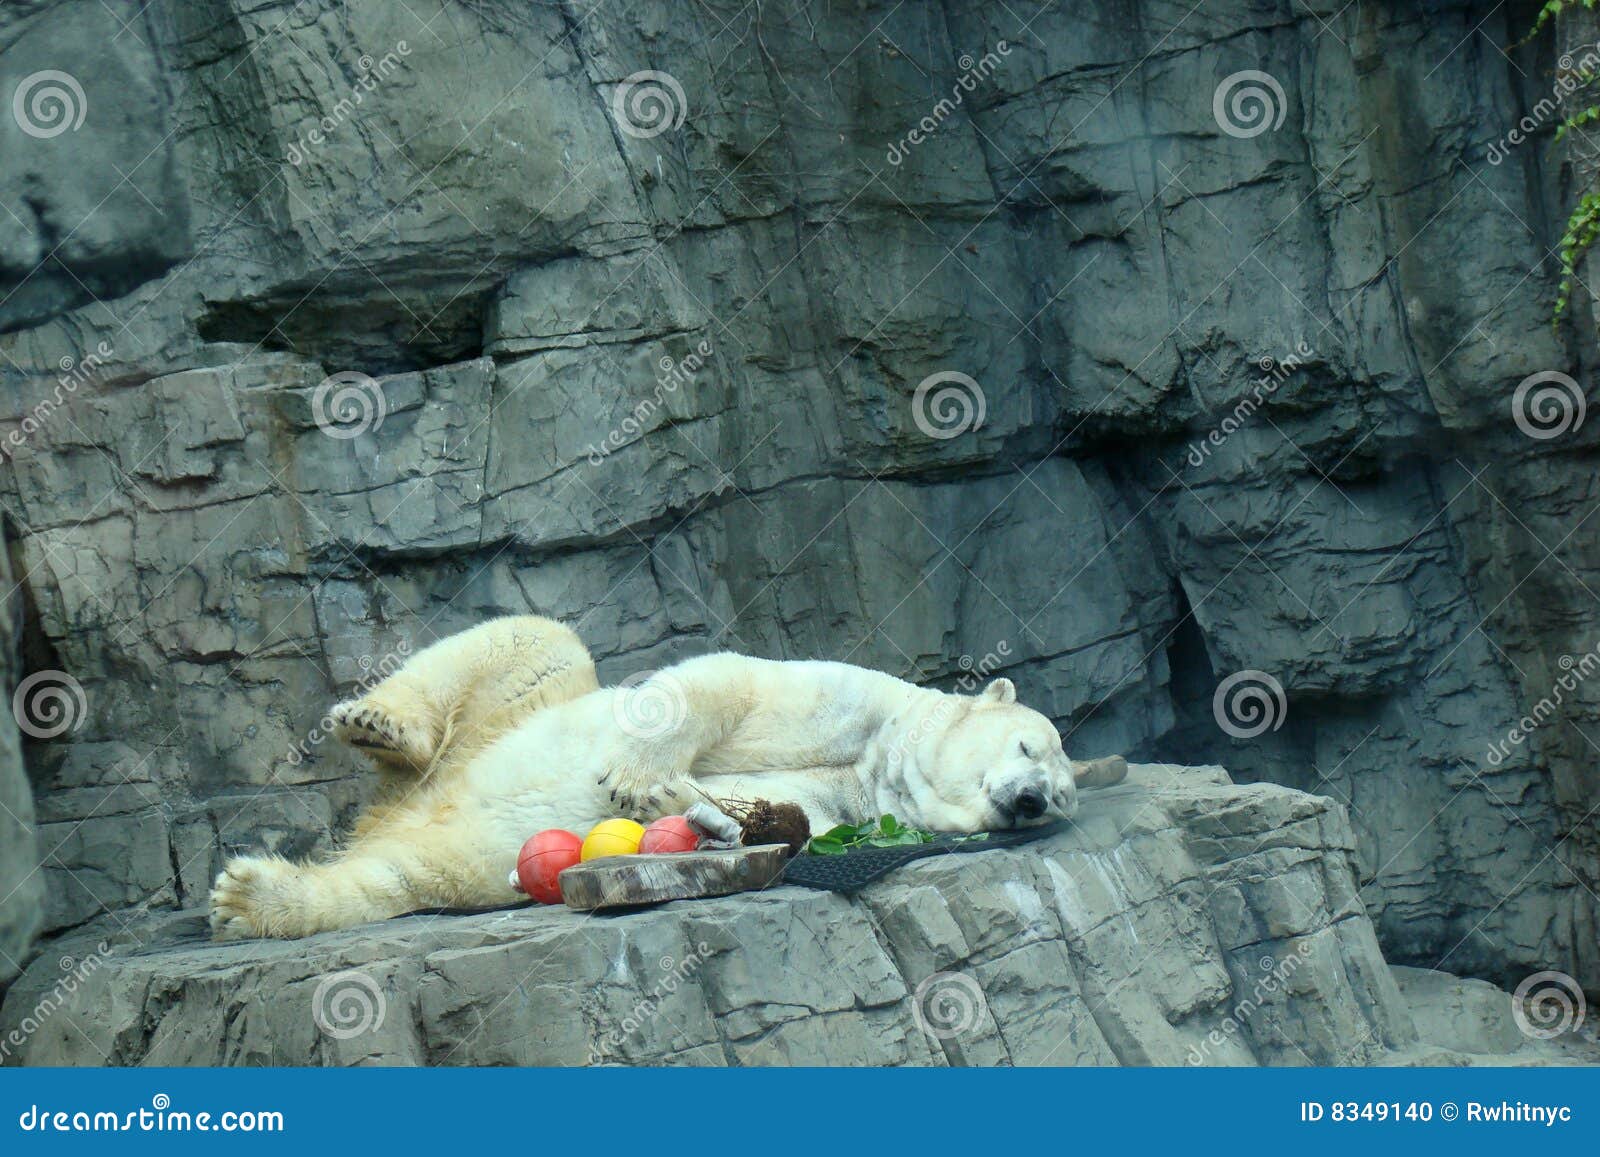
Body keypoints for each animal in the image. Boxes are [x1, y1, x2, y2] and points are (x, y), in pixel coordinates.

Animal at [210, 616, 1100, 940]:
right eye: (1029, 745)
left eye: (1058, 799)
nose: (1027, 800)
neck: (878, 760)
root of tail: (399, 810)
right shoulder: (855, 698)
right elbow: (724, 682)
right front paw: (642, 778)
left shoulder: (848, 798)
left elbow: (791, 821)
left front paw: (696, 810)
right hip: (493, 725)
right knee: (533, 640)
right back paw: (380, 724)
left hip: (455, 849)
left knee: (395, 876)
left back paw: (256, 896)